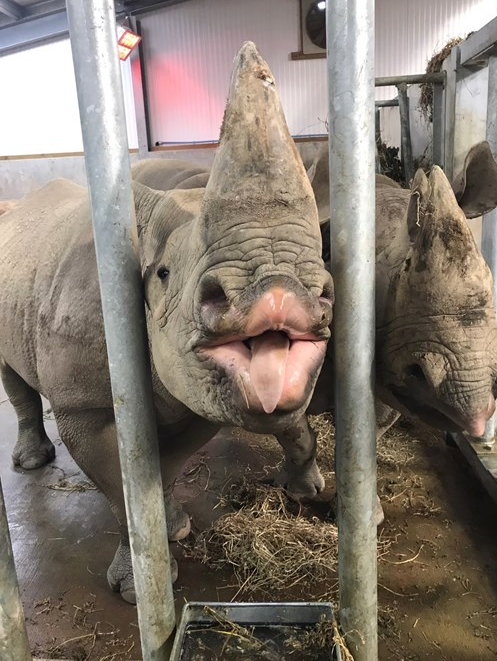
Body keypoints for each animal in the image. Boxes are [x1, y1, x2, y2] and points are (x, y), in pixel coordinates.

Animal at [0, 43, 333, 603]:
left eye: (322, 278)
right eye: (163, 274)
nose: (280, 291)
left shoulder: (193, 394)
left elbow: (165, 467)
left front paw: (173, 526)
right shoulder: (86, 405)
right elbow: (122, 488)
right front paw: (137, 589)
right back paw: (31, 464)